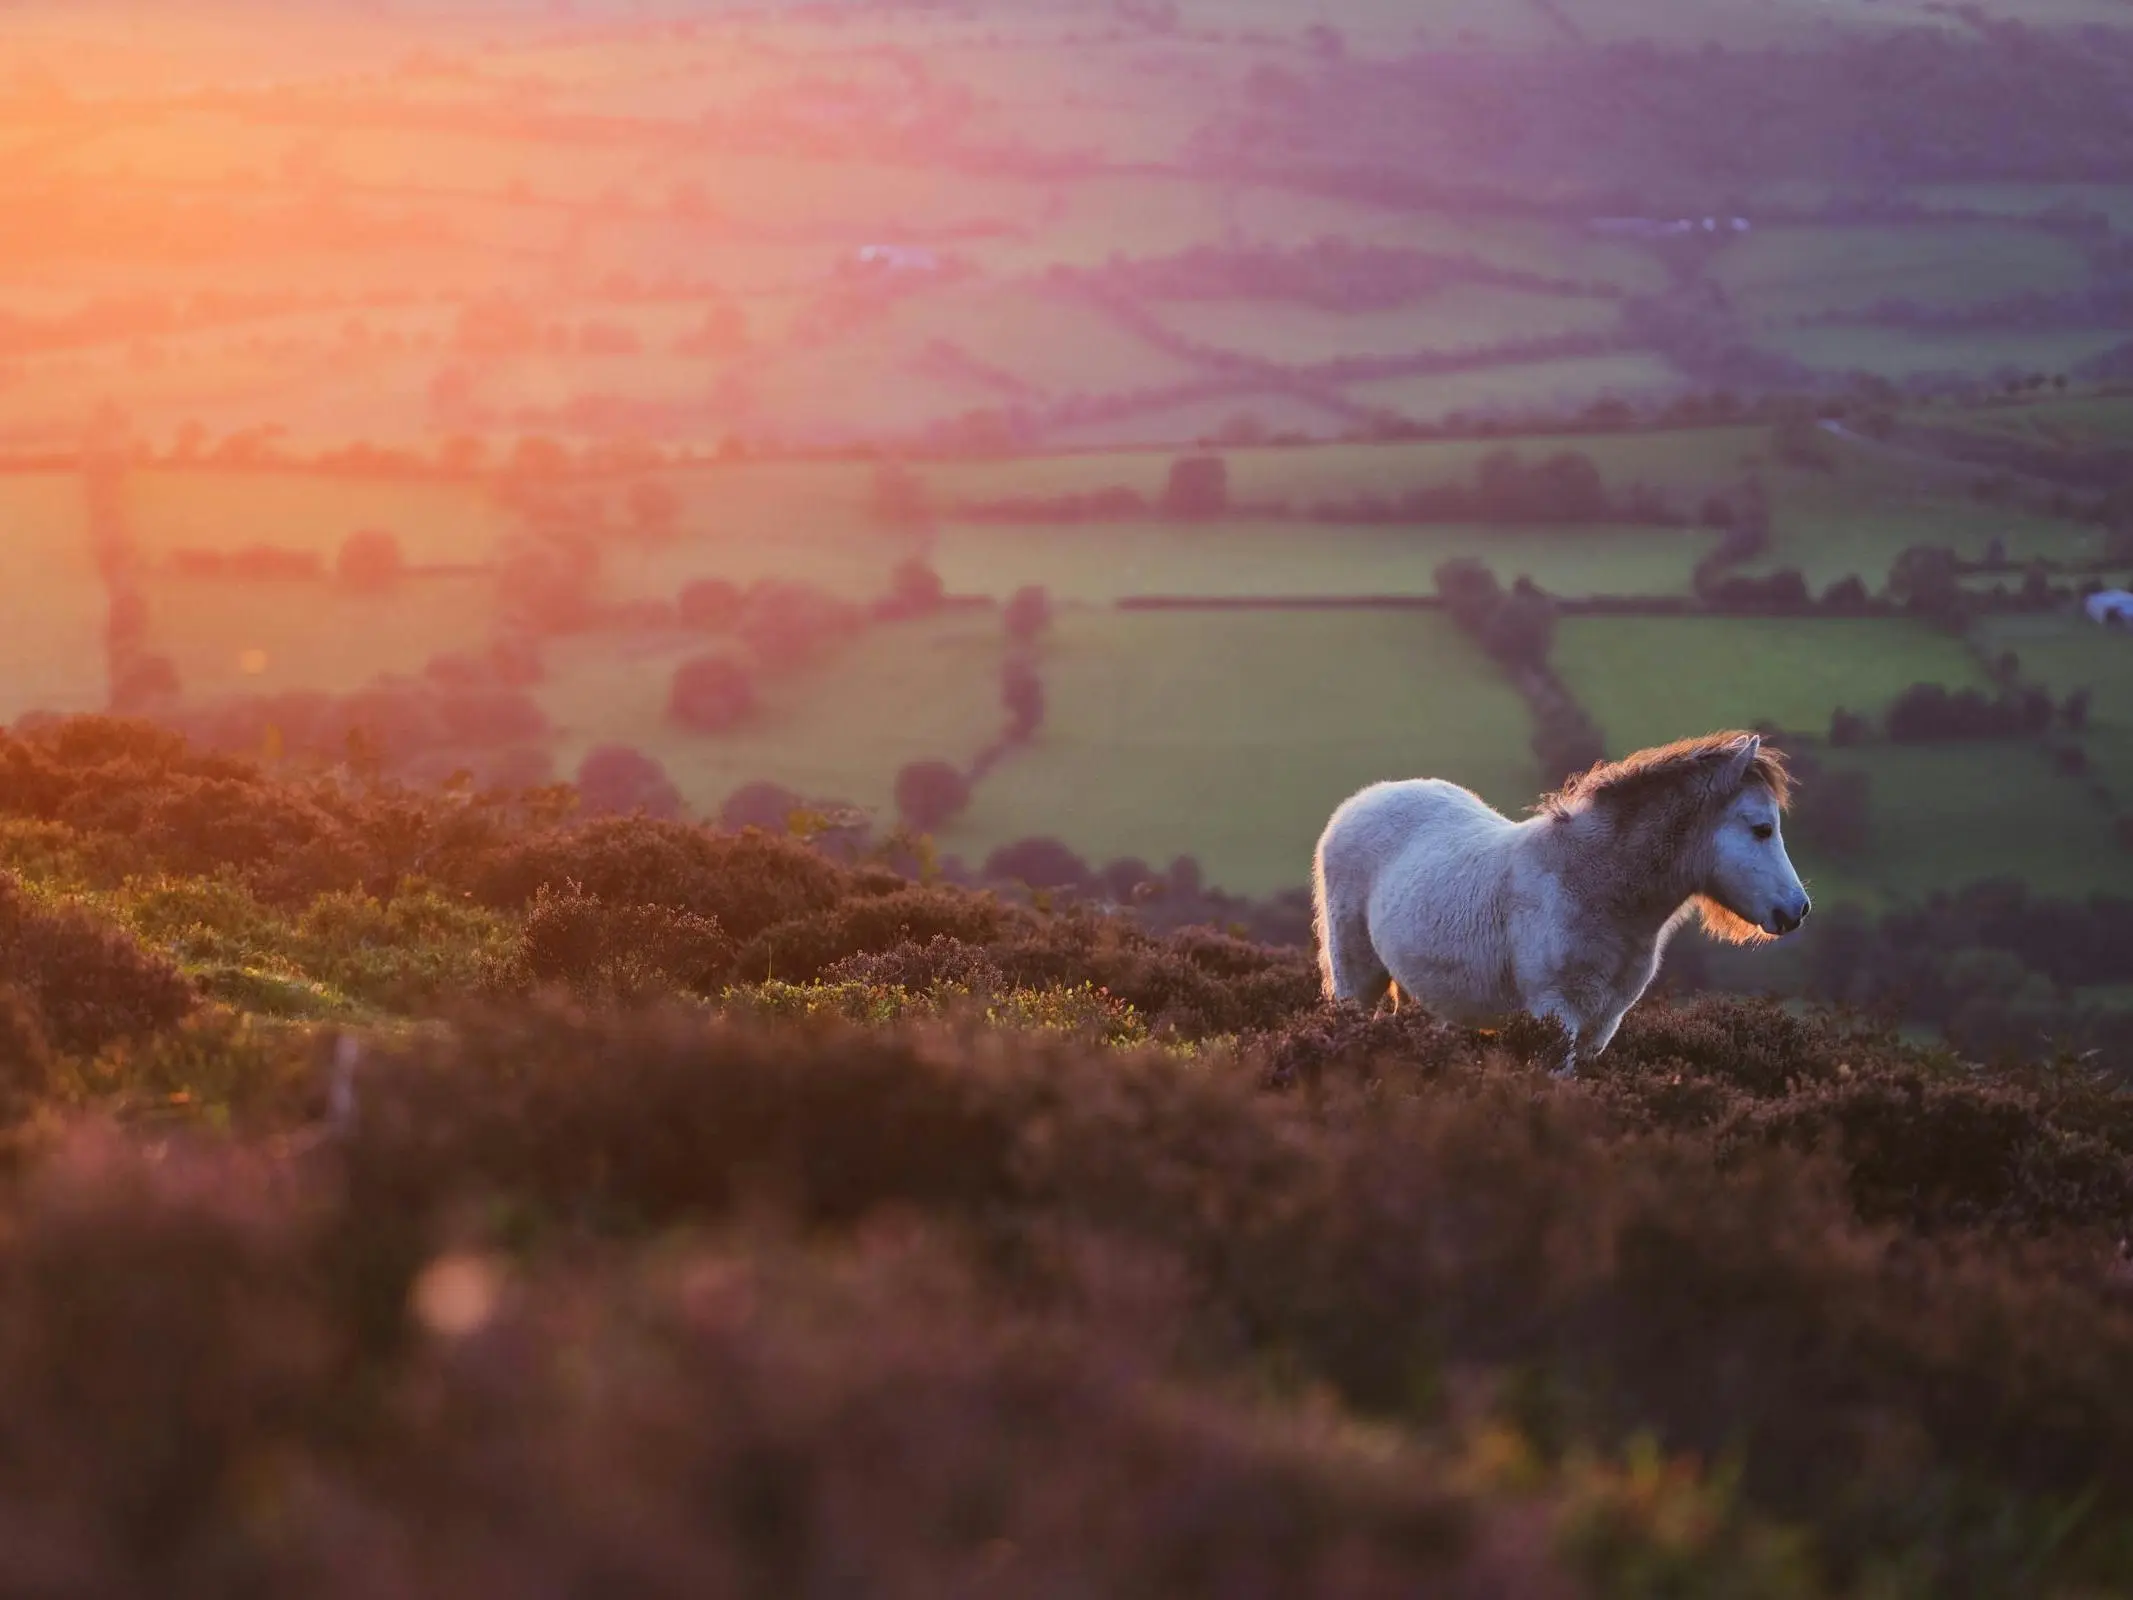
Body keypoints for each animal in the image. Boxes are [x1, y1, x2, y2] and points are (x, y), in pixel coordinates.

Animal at [1310, 732, 1809, 1075]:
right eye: (1761, 828)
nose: (1797, 910)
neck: (1590, 885)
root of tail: (1361, 801)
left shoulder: (1599, 1029)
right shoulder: (1558, 1016)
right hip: (1356, 977)